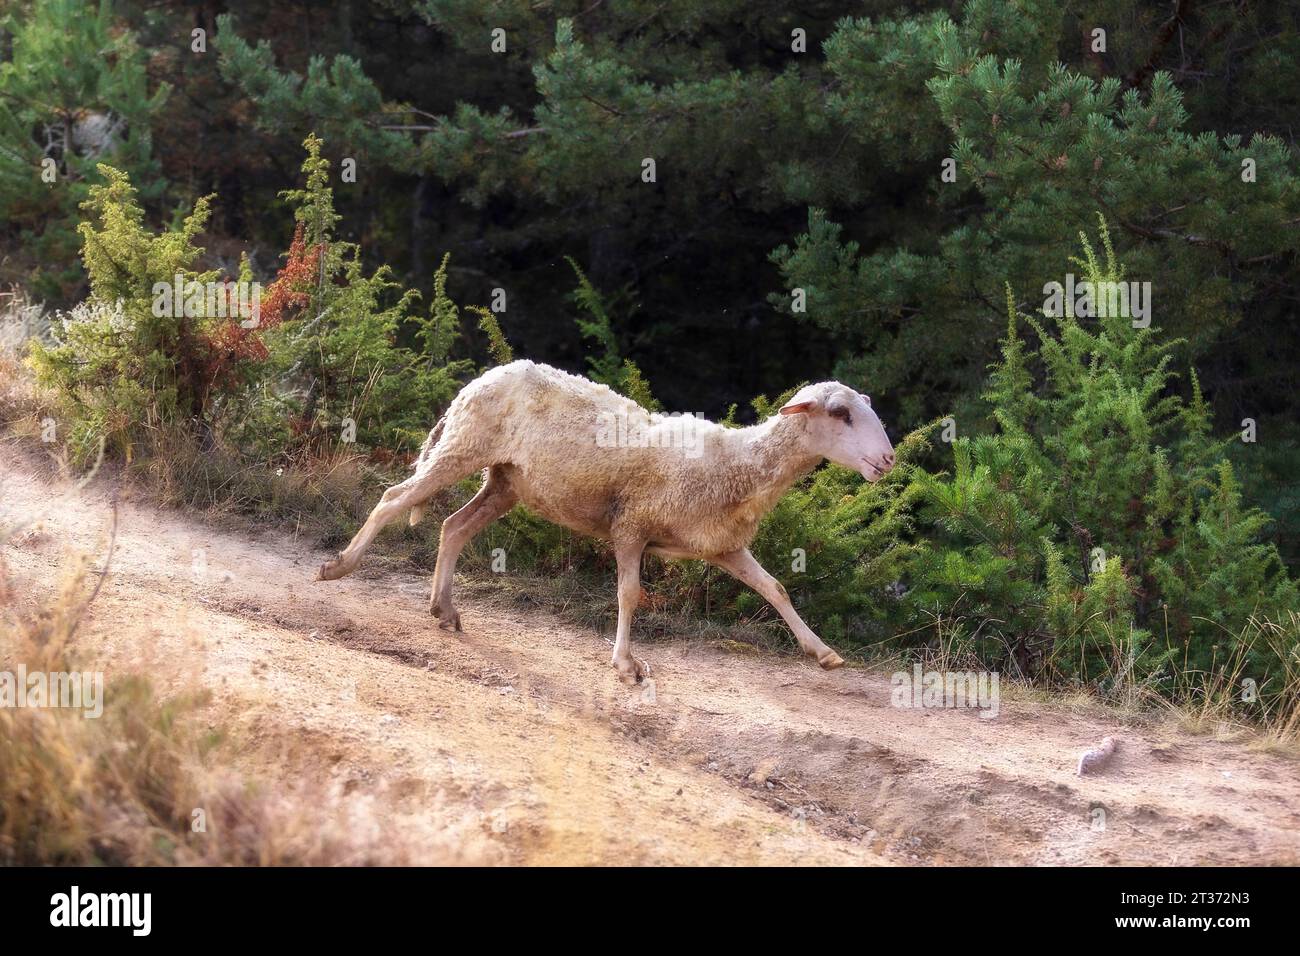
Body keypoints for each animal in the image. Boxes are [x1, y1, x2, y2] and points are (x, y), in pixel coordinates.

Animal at [317, 360, 896, 683]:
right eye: (841, 414)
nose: (888, 461)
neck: (735, 464)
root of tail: (482, 378)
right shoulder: (632, 526)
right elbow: (629, 595)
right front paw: (625, 665)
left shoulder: (722, 545)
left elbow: (776, 588)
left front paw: (822, 653)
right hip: (463, 447)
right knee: (393, 499)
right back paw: (339, 566)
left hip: (505, 481)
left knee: (453, 527)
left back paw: (444, 608)